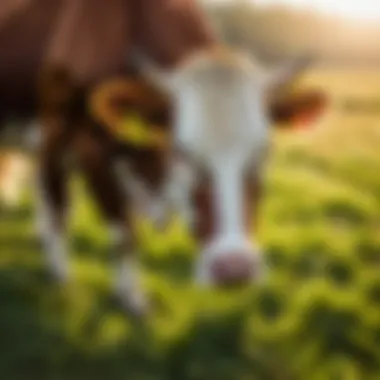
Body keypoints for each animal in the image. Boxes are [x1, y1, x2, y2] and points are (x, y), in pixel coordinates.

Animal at [0, 0, 326, 314]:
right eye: (181, 149)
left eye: (263, 149)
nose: (234, 269)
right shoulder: (70, 141)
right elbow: (115, 230)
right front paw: (82, 282)